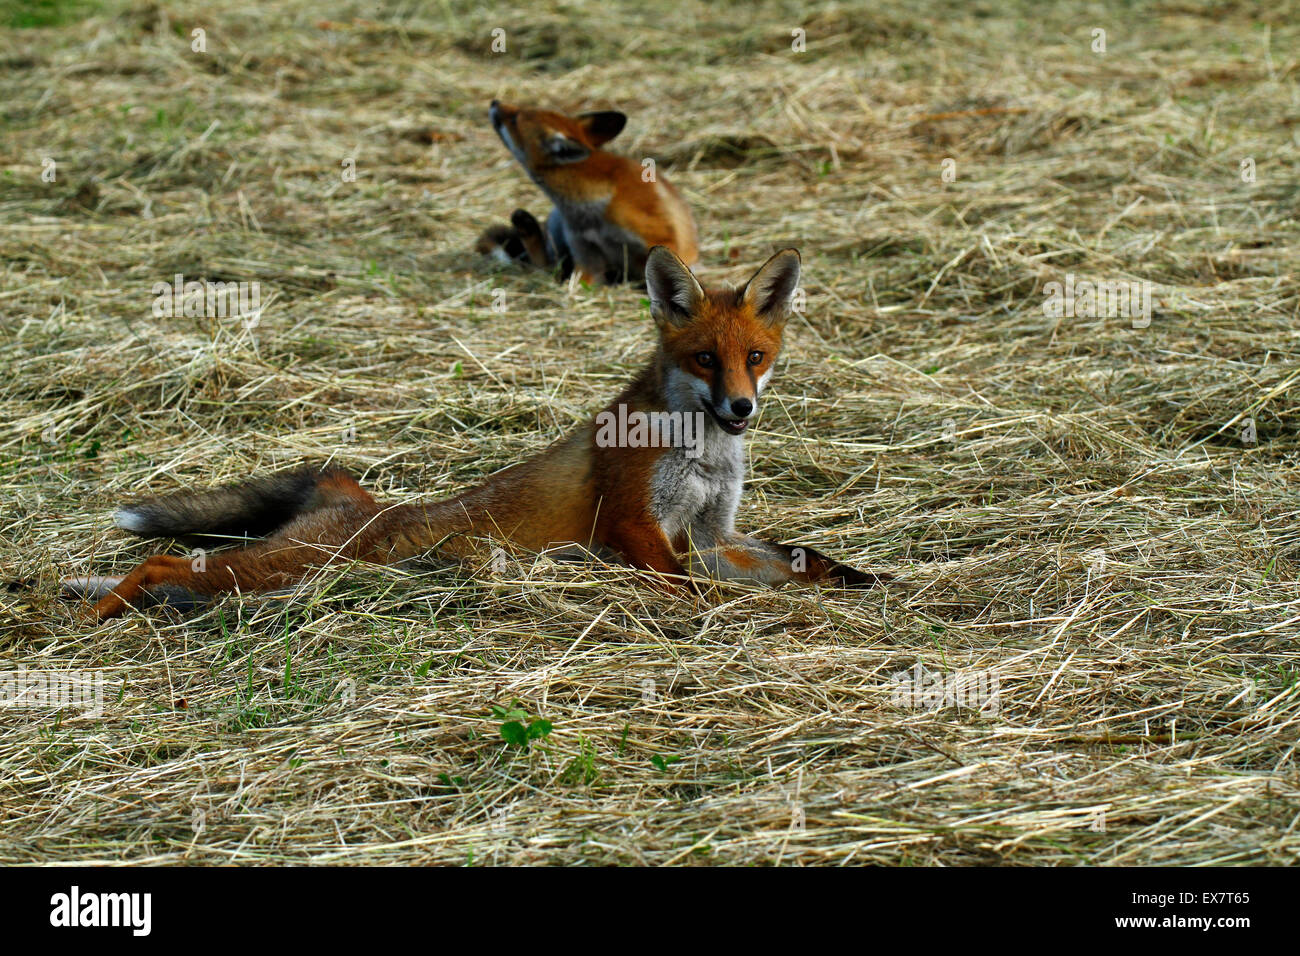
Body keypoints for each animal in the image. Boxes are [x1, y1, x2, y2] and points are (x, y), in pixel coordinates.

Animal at [64, 247, 887, 620]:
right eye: (705, 359)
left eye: (756, 358)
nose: (740, 409)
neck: (705, 454)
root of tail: (359, 501)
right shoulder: (633, 522)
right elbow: (688, 585)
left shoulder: (713, 533)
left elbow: (799, 558)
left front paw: (860, 580)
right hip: (284, 571)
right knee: (160, 562)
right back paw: (98, 617)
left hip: (271, 577)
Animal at [476, 100, 698, 285]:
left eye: (515, 118)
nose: (494, 102)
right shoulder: (586, 259)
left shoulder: (661, 238)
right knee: (544, 265)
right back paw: (525, 225)